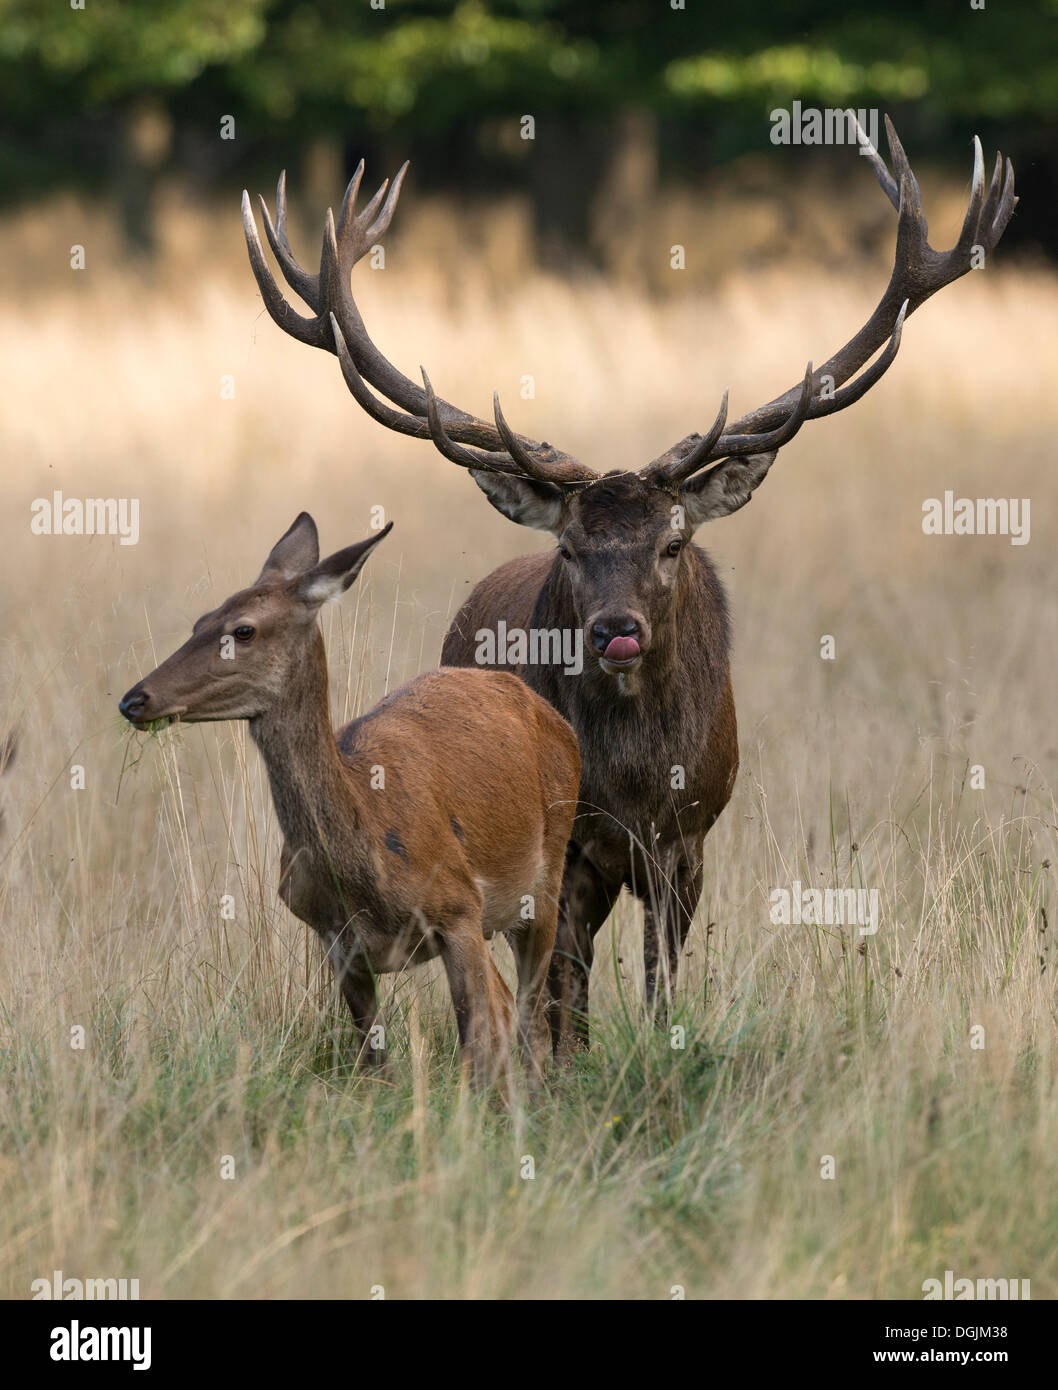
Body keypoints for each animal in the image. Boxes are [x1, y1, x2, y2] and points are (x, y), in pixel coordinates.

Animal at [118, 514, 581, 1090]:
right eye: (201, 620)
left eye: (243, 629)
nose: (134, 699)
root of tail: (552, 718)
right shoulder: (336, 942)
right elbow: (374, 1064)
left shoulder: (457, 908)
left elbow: (478, 1042)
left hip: (547, 876)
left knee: (529, 1017)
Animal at [241, 116, 1016, 1058]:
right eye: (572, 548)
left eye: (673, 542)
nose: (617, 630)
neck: (638, 779)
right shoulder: (568, 847)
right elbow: (565, 993)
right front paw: (567, 1064)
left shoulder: (691, 836)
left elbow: (660, 982)